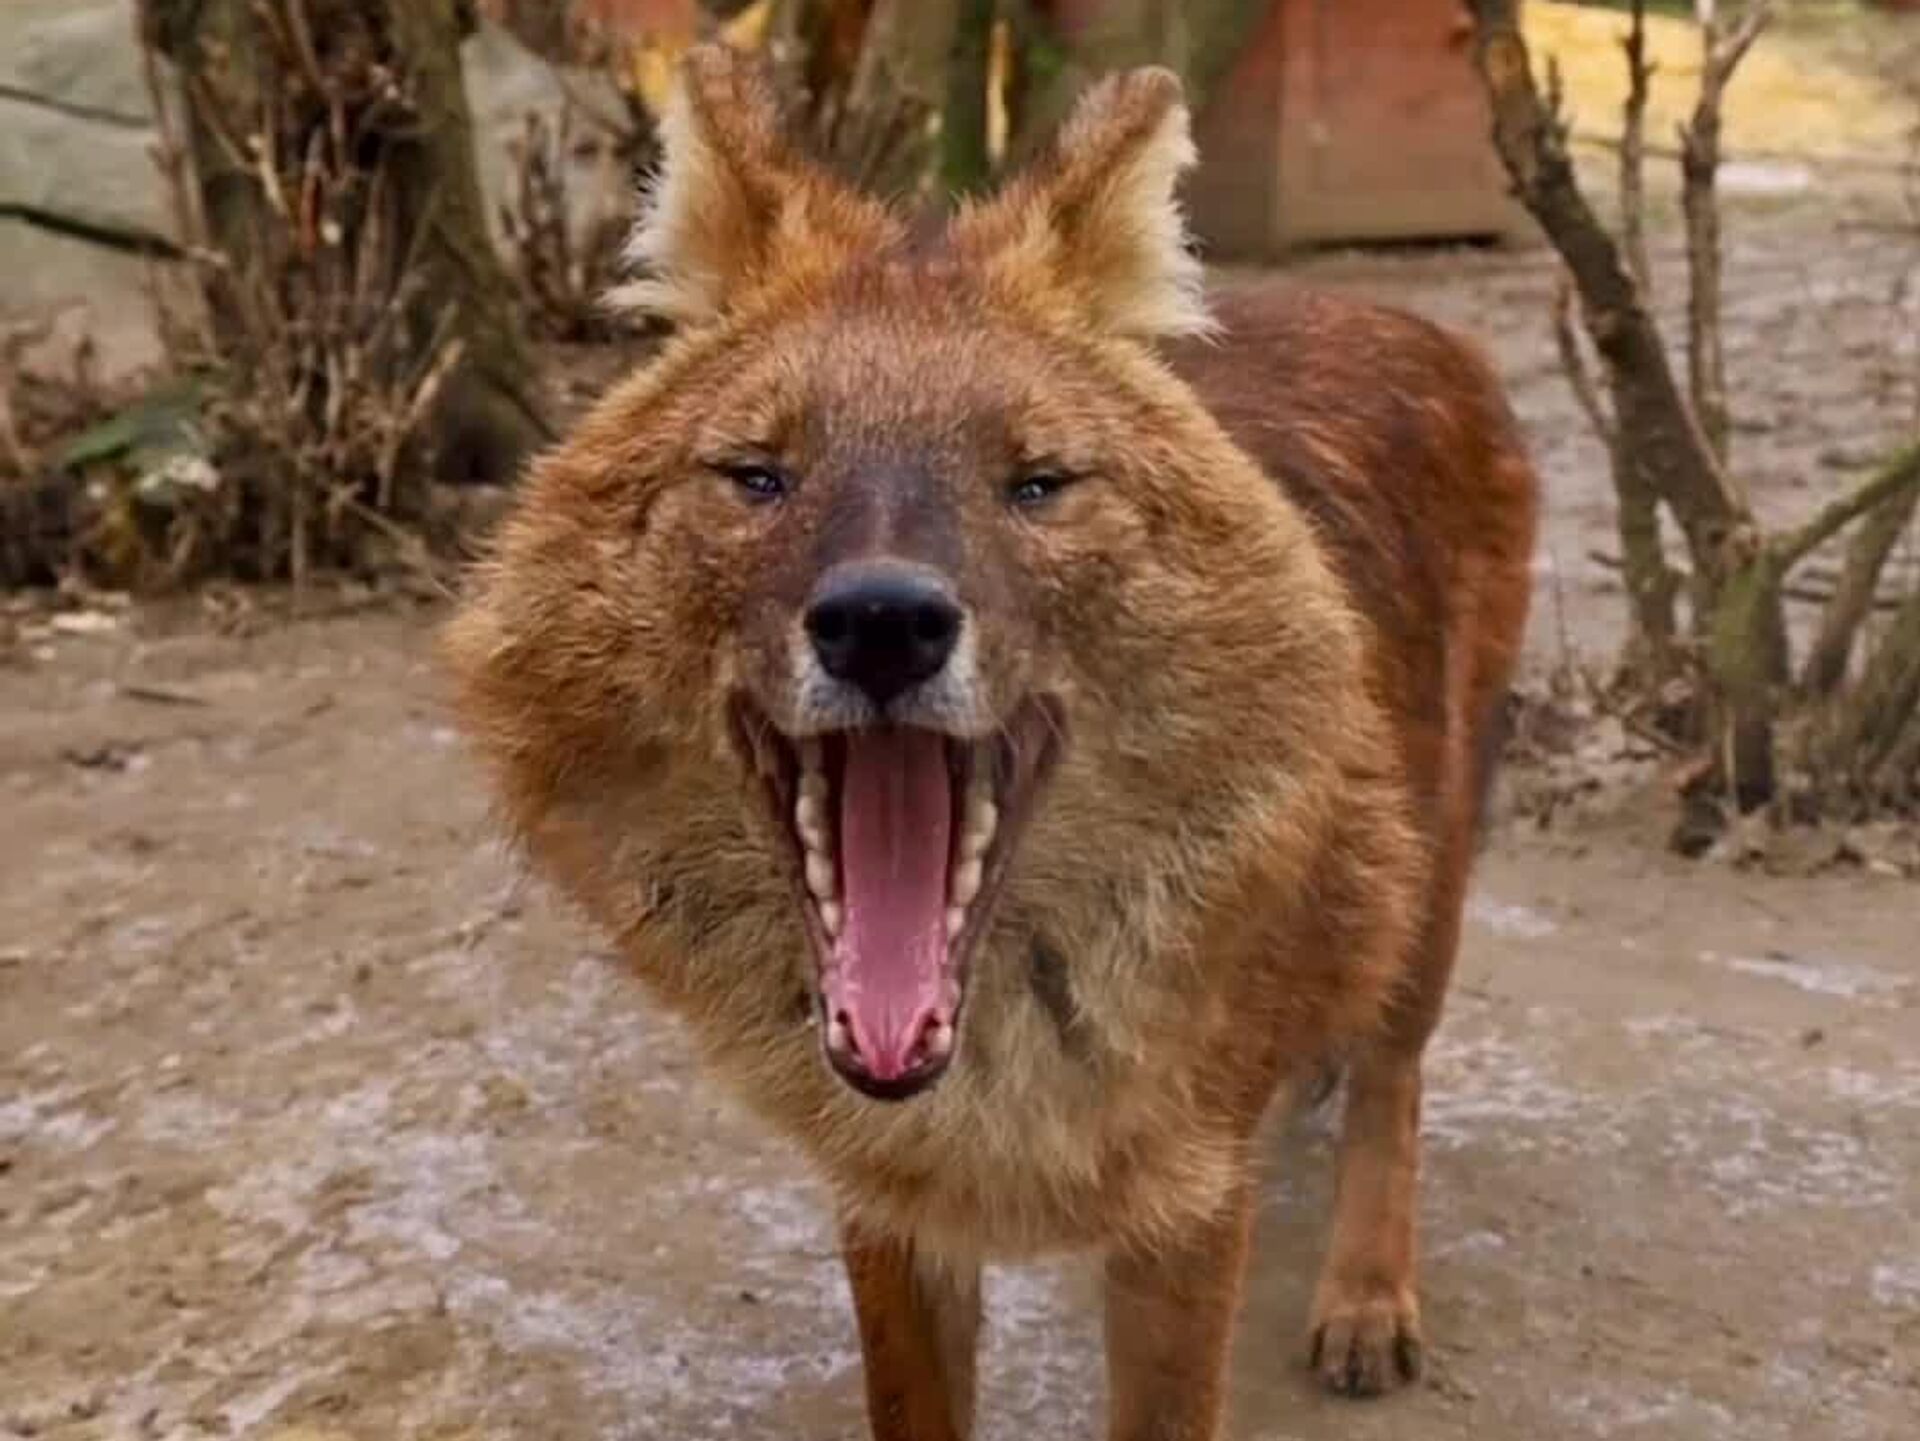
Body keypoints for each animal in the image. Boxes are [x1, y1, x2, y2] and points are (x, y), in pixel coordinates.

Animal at [445, 43, 1537, 1441]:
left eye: (1037, 484)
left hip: (1435, 857)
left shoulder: (1188, 1204)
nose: (883, 621)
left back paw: (1364, 1297)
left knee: (1397, 1065)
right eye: (757, 475)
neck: (998, 1060)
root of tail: (1409, 318)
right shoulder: (885, 1193)